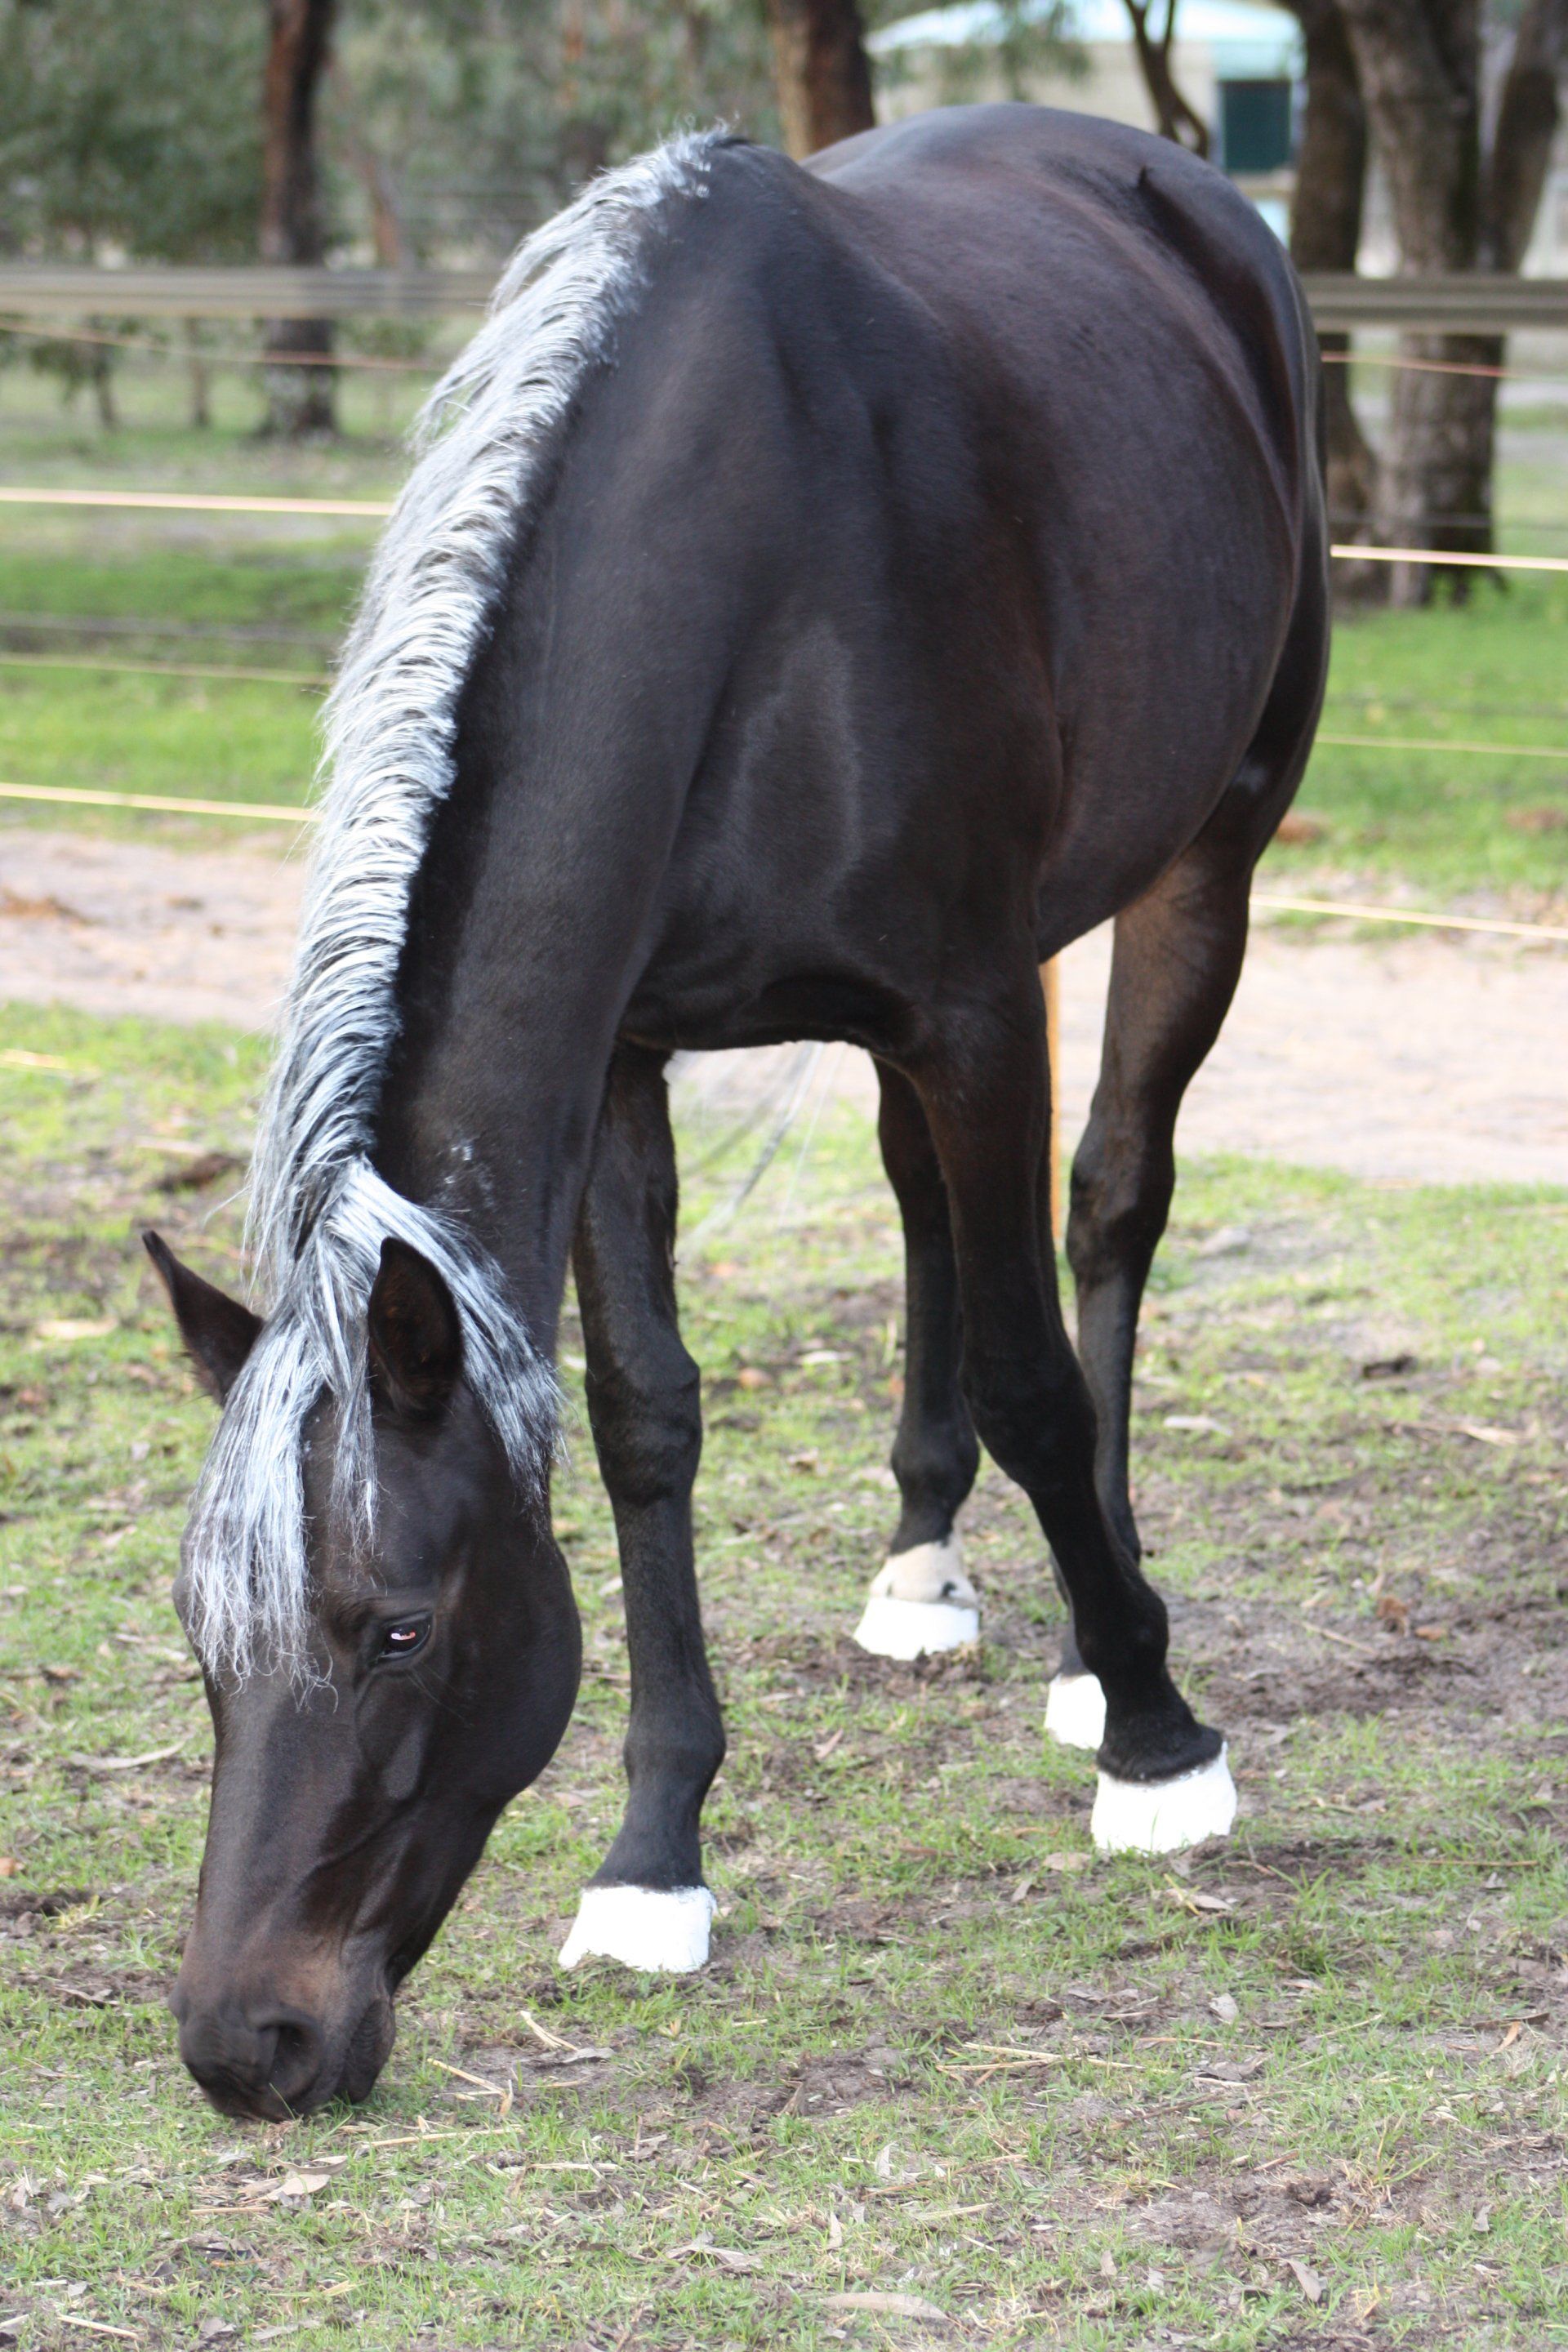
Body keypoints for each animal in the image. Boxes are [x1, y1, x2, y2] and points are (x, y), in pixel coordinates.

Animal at [145, 104, 1327, 2120]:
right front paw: (652, 1865)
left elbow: (1030, 1364)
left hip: (1208, 855)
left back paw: (1101, 1646)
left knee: (1107, 1202)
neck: (751, 567)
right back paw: (924, 1565)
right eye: (199, 1638)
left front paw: (1162, 1748)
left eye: (399, 1628)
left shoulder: (971, 1005)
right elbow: (647, 1420)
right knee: (927, 1204)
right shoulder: (631, 1051)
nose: (250, 2046)